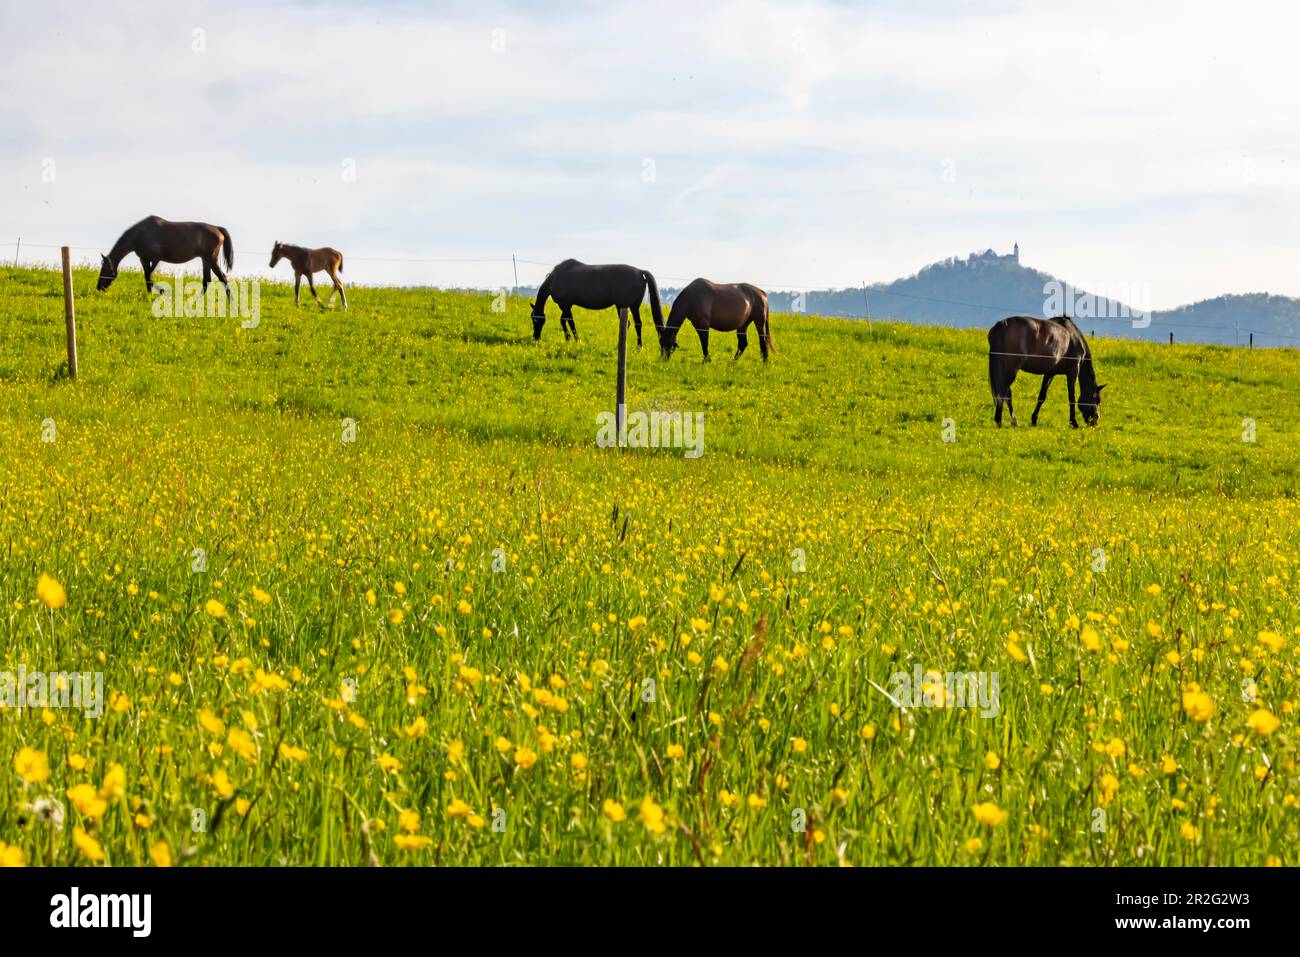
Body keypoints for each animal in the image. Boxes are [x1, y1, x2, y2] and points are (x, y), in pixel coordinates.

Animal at [97, 216, 234, 299]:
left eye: (106, 270)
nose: (98, 287)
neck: (141, 234)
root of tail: (218, 229)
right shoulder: (144, 259)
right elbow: (147, 277)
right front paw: (150, 294)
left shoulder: (155, 259)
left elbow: (148, 276)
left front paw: (162, 291)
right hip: (205, 260)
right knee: (207, 280)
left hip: (211, 259)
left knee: (222, 278)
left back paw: (230, 301)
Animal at [530, 259, 664, 347]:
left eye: (535, 320)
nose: (535, 337)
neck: (556, 277)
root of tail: (640, 271)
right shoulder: (567, 305)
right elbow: (563, 320)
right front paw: (567, 339)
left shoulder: (565, 305)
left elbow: (570, 322)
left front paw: (577, 340)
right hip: (633, 306)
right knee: (637, 324)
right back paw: (638, 347)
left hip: (623, 306)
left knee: (629, 324)